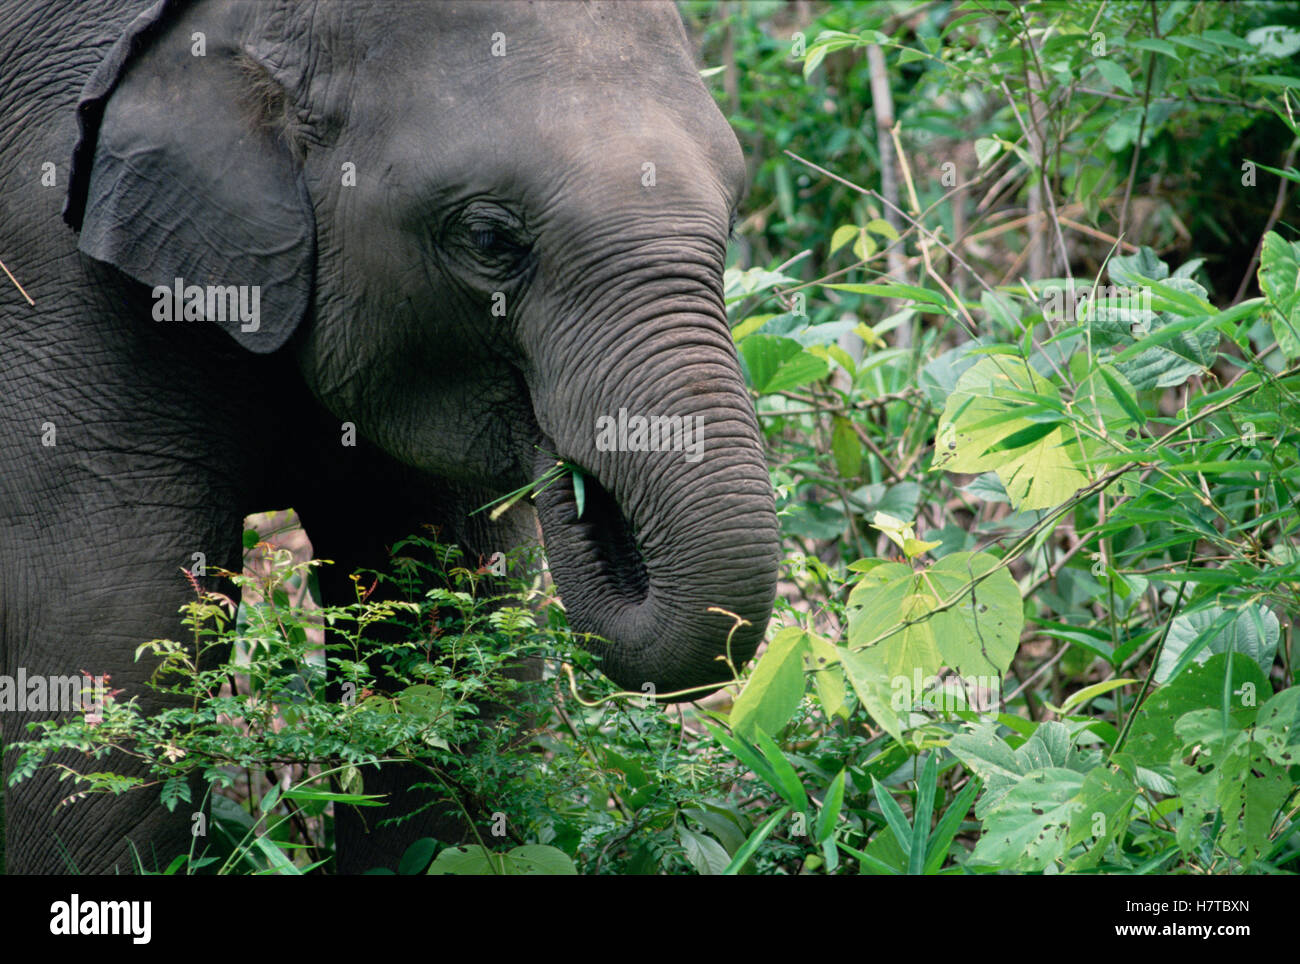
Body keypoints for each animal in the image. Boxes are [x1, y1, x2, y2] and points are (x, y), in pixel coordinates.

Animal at [0, 0, 780, 873]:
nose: (574, 480)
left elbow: (450, 605)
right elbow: (109, 624)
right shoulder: (53, 265)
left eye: (733, 211)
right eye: (490, 239)